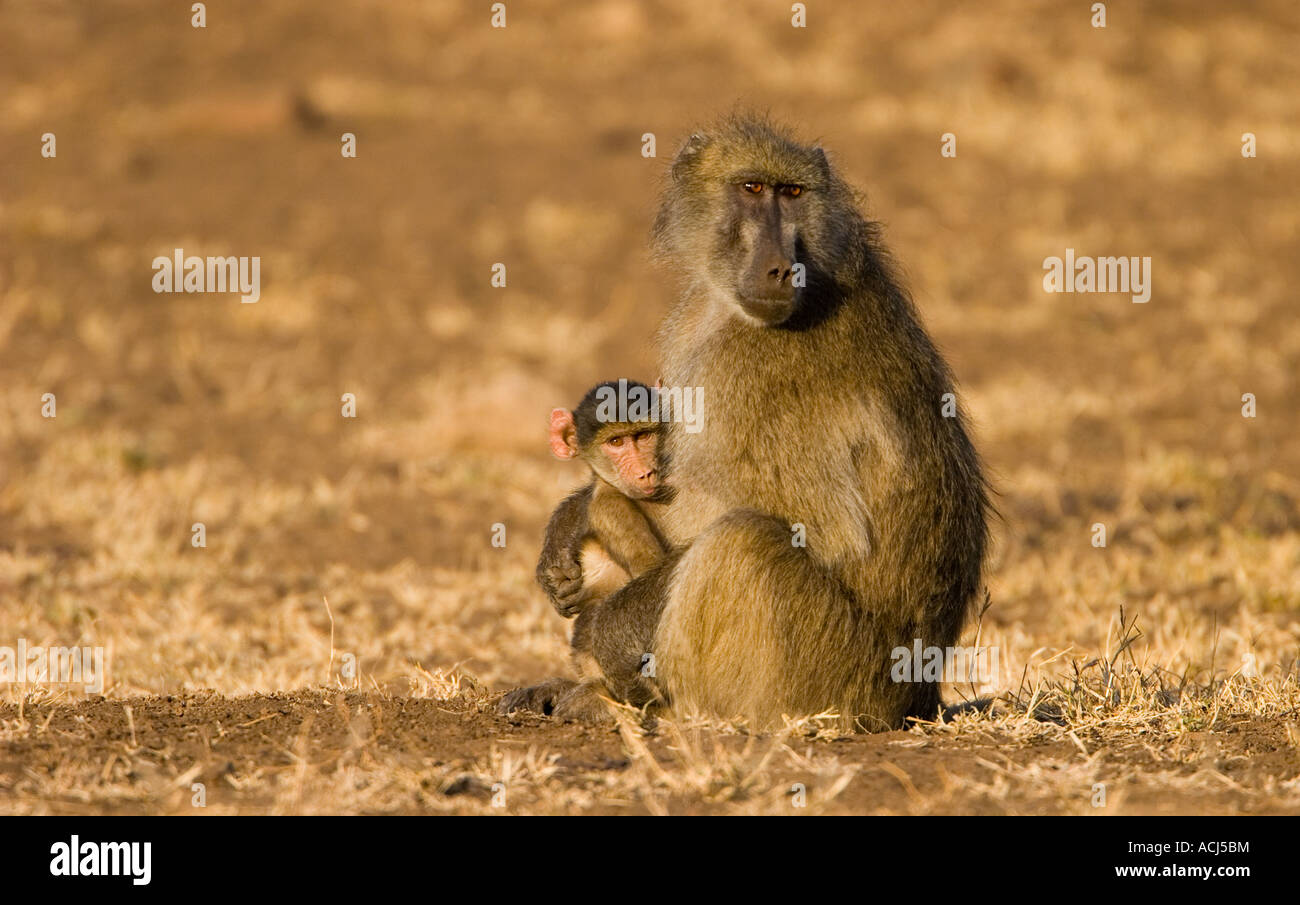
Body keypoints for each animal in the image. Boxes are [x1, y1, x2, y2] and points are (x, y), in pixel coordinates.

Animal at [505, 115, 990, 731]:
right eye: (753, 189)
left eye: (794, 193)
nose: (781, 267)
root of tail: (916, 698)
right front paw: (569, 522)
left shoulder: (753, 371)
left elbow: (822, 534)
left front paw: (604, 630)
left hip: (833, 675)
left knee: (743, 541)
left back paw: (654, 710)